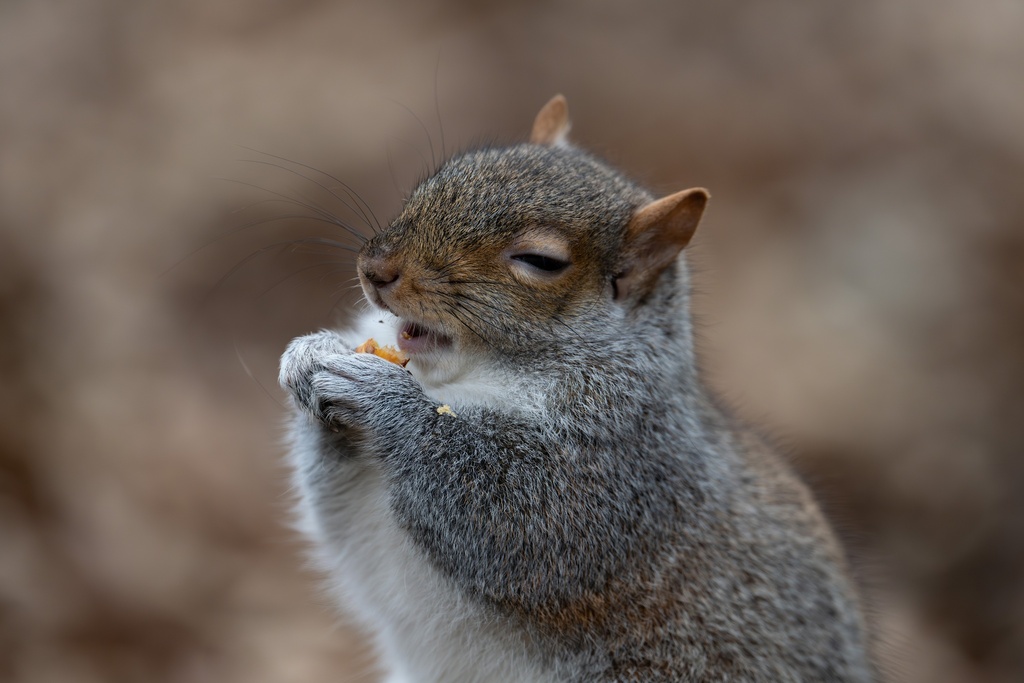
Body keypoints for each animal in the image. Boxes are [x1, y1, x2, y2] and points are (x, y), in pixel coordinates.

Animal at [279, 95, 873, 682]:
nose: (375, 269)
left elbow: (518, 517)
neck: (464, 381)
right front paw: (310, 357)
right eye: (437, 179)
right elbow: (340, 518)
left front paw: (382, 398)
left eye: (540, 261)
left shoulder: (624, 470)